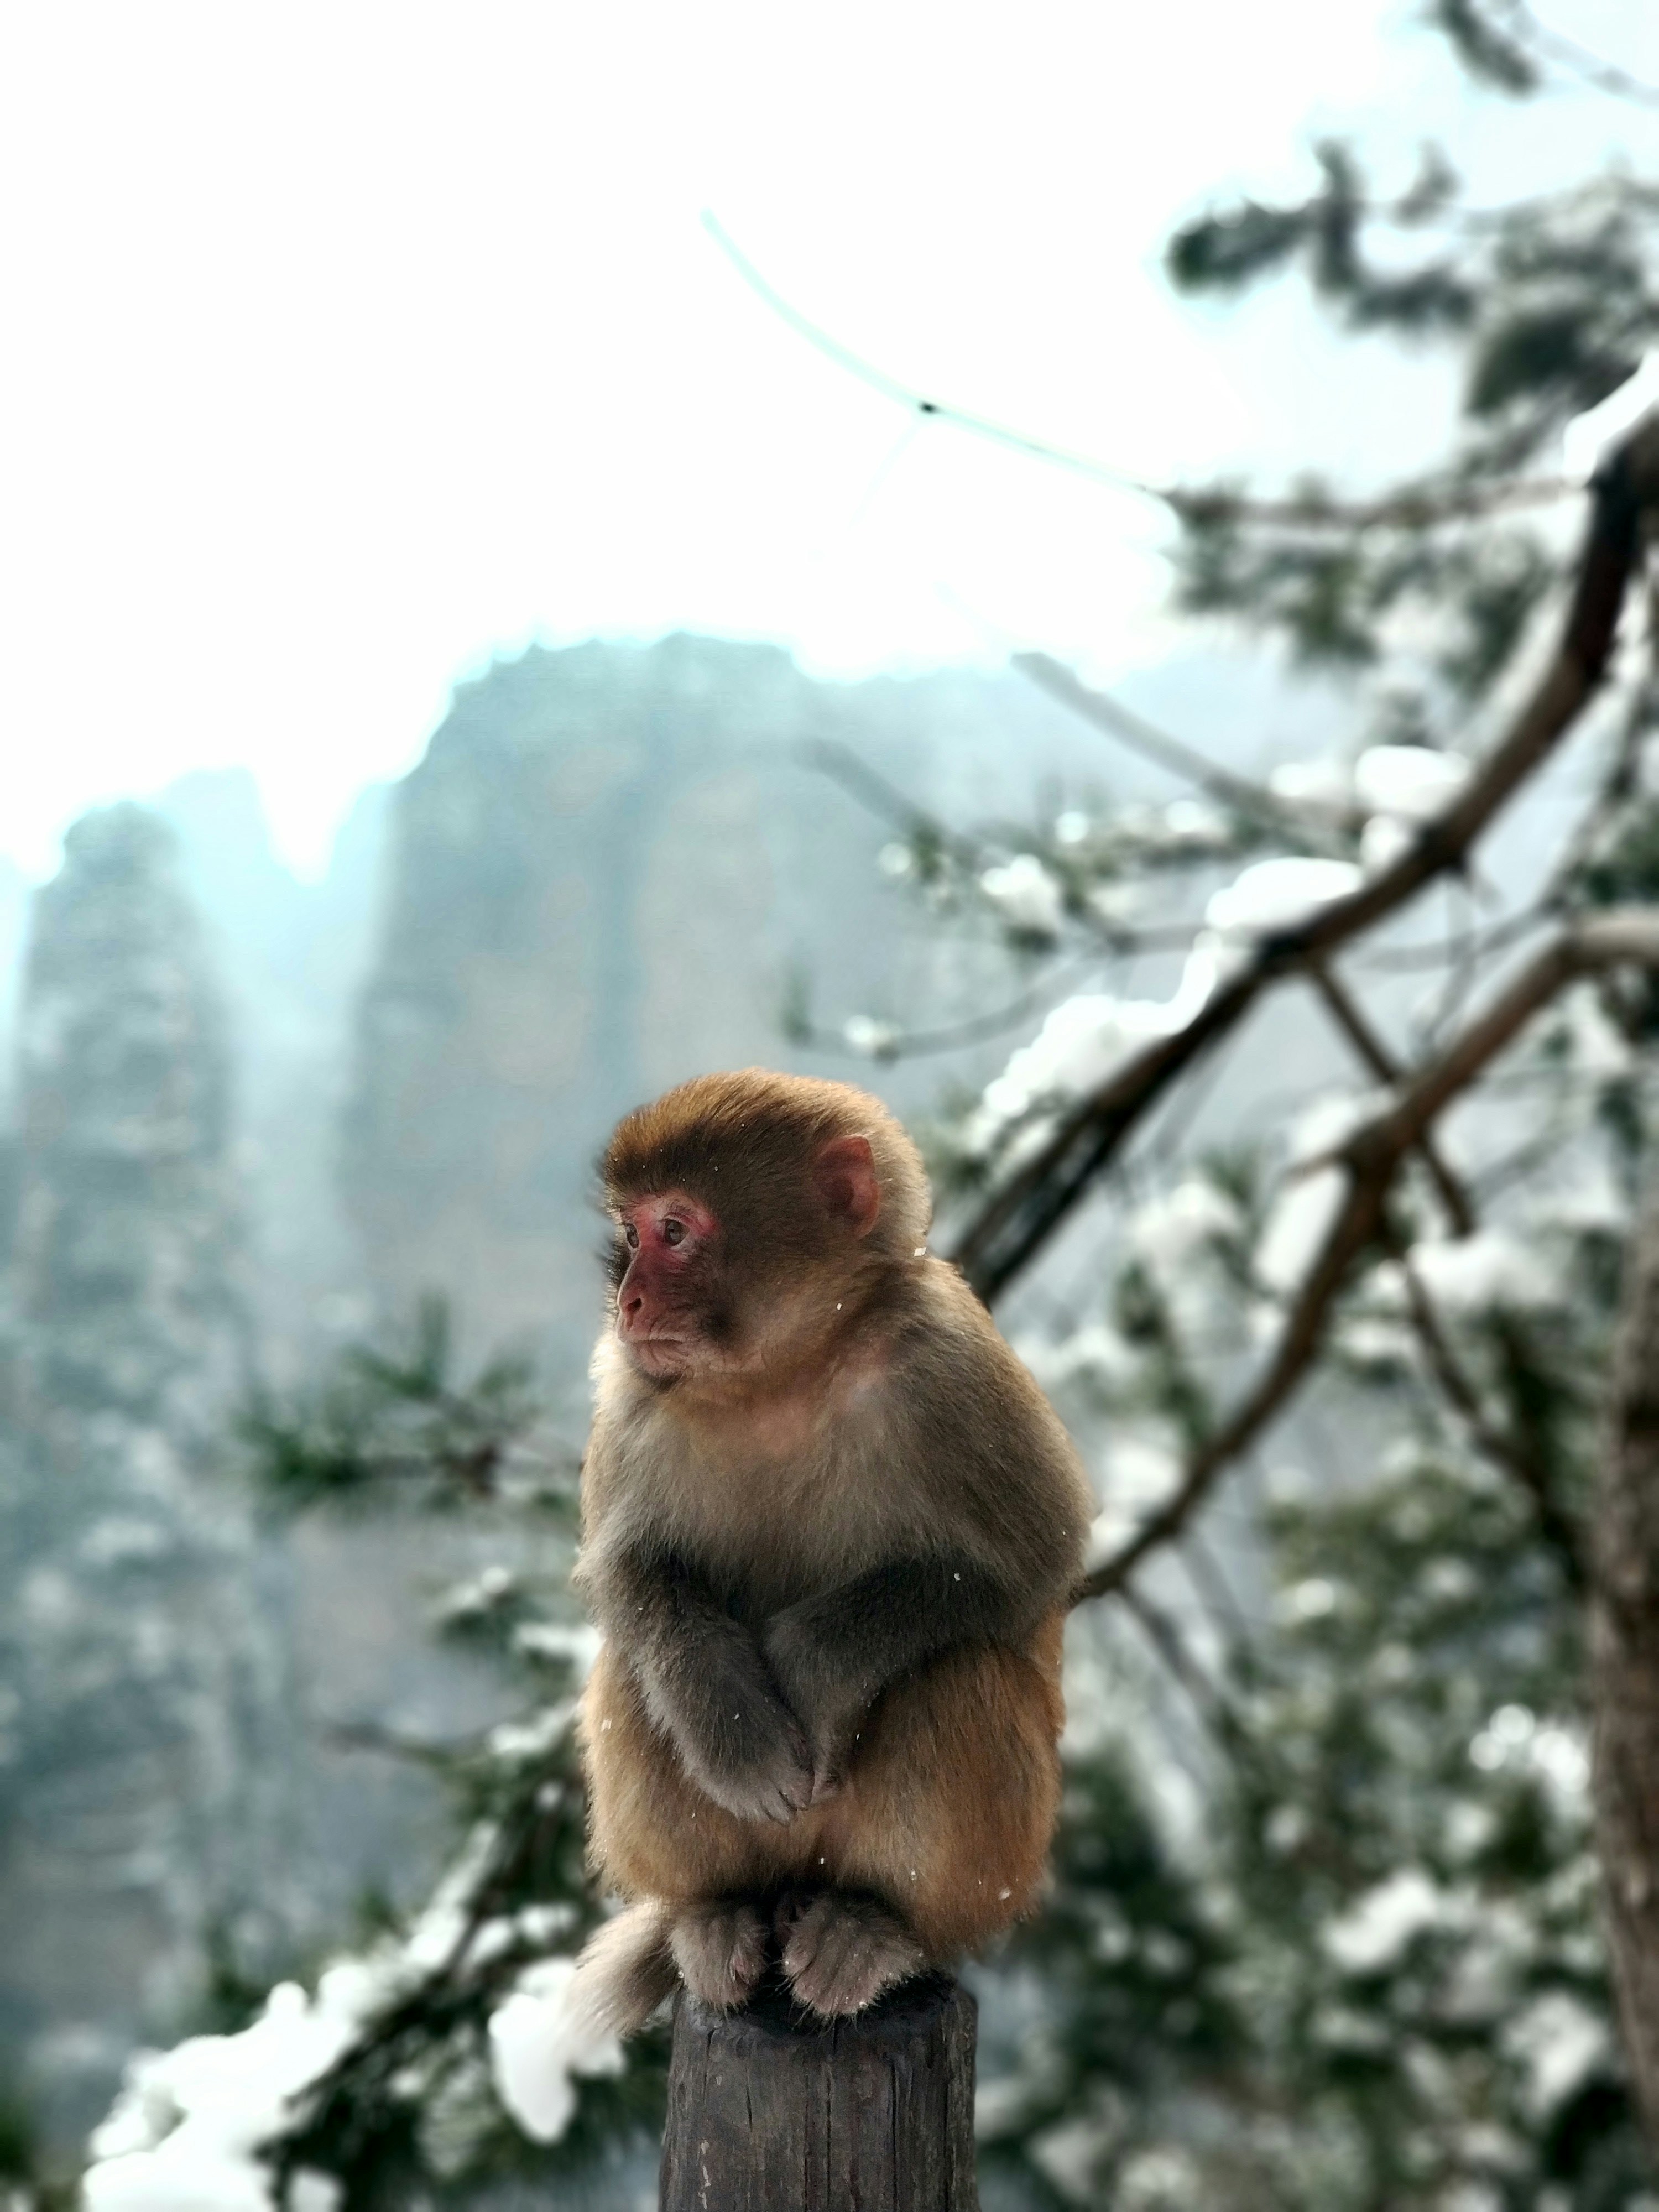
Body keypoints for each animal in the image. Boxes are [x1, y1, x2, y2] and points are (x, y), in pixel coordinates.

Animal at [568, 1069, 1092, 2030]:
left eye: (675, 1232)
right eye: (632, 1235)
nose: (628, 1303)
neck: (785, 1369)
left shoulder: (946, 1360)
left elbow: (1037, 1554)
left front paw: (814, 1673)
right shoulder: (630, 1393)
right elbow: (630, 1571)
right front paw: (732, 1723)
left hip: (990, 1869)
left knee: (956, 1670)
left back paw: (883, 1932)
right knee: (631, 1669)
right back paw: (711, 1913)